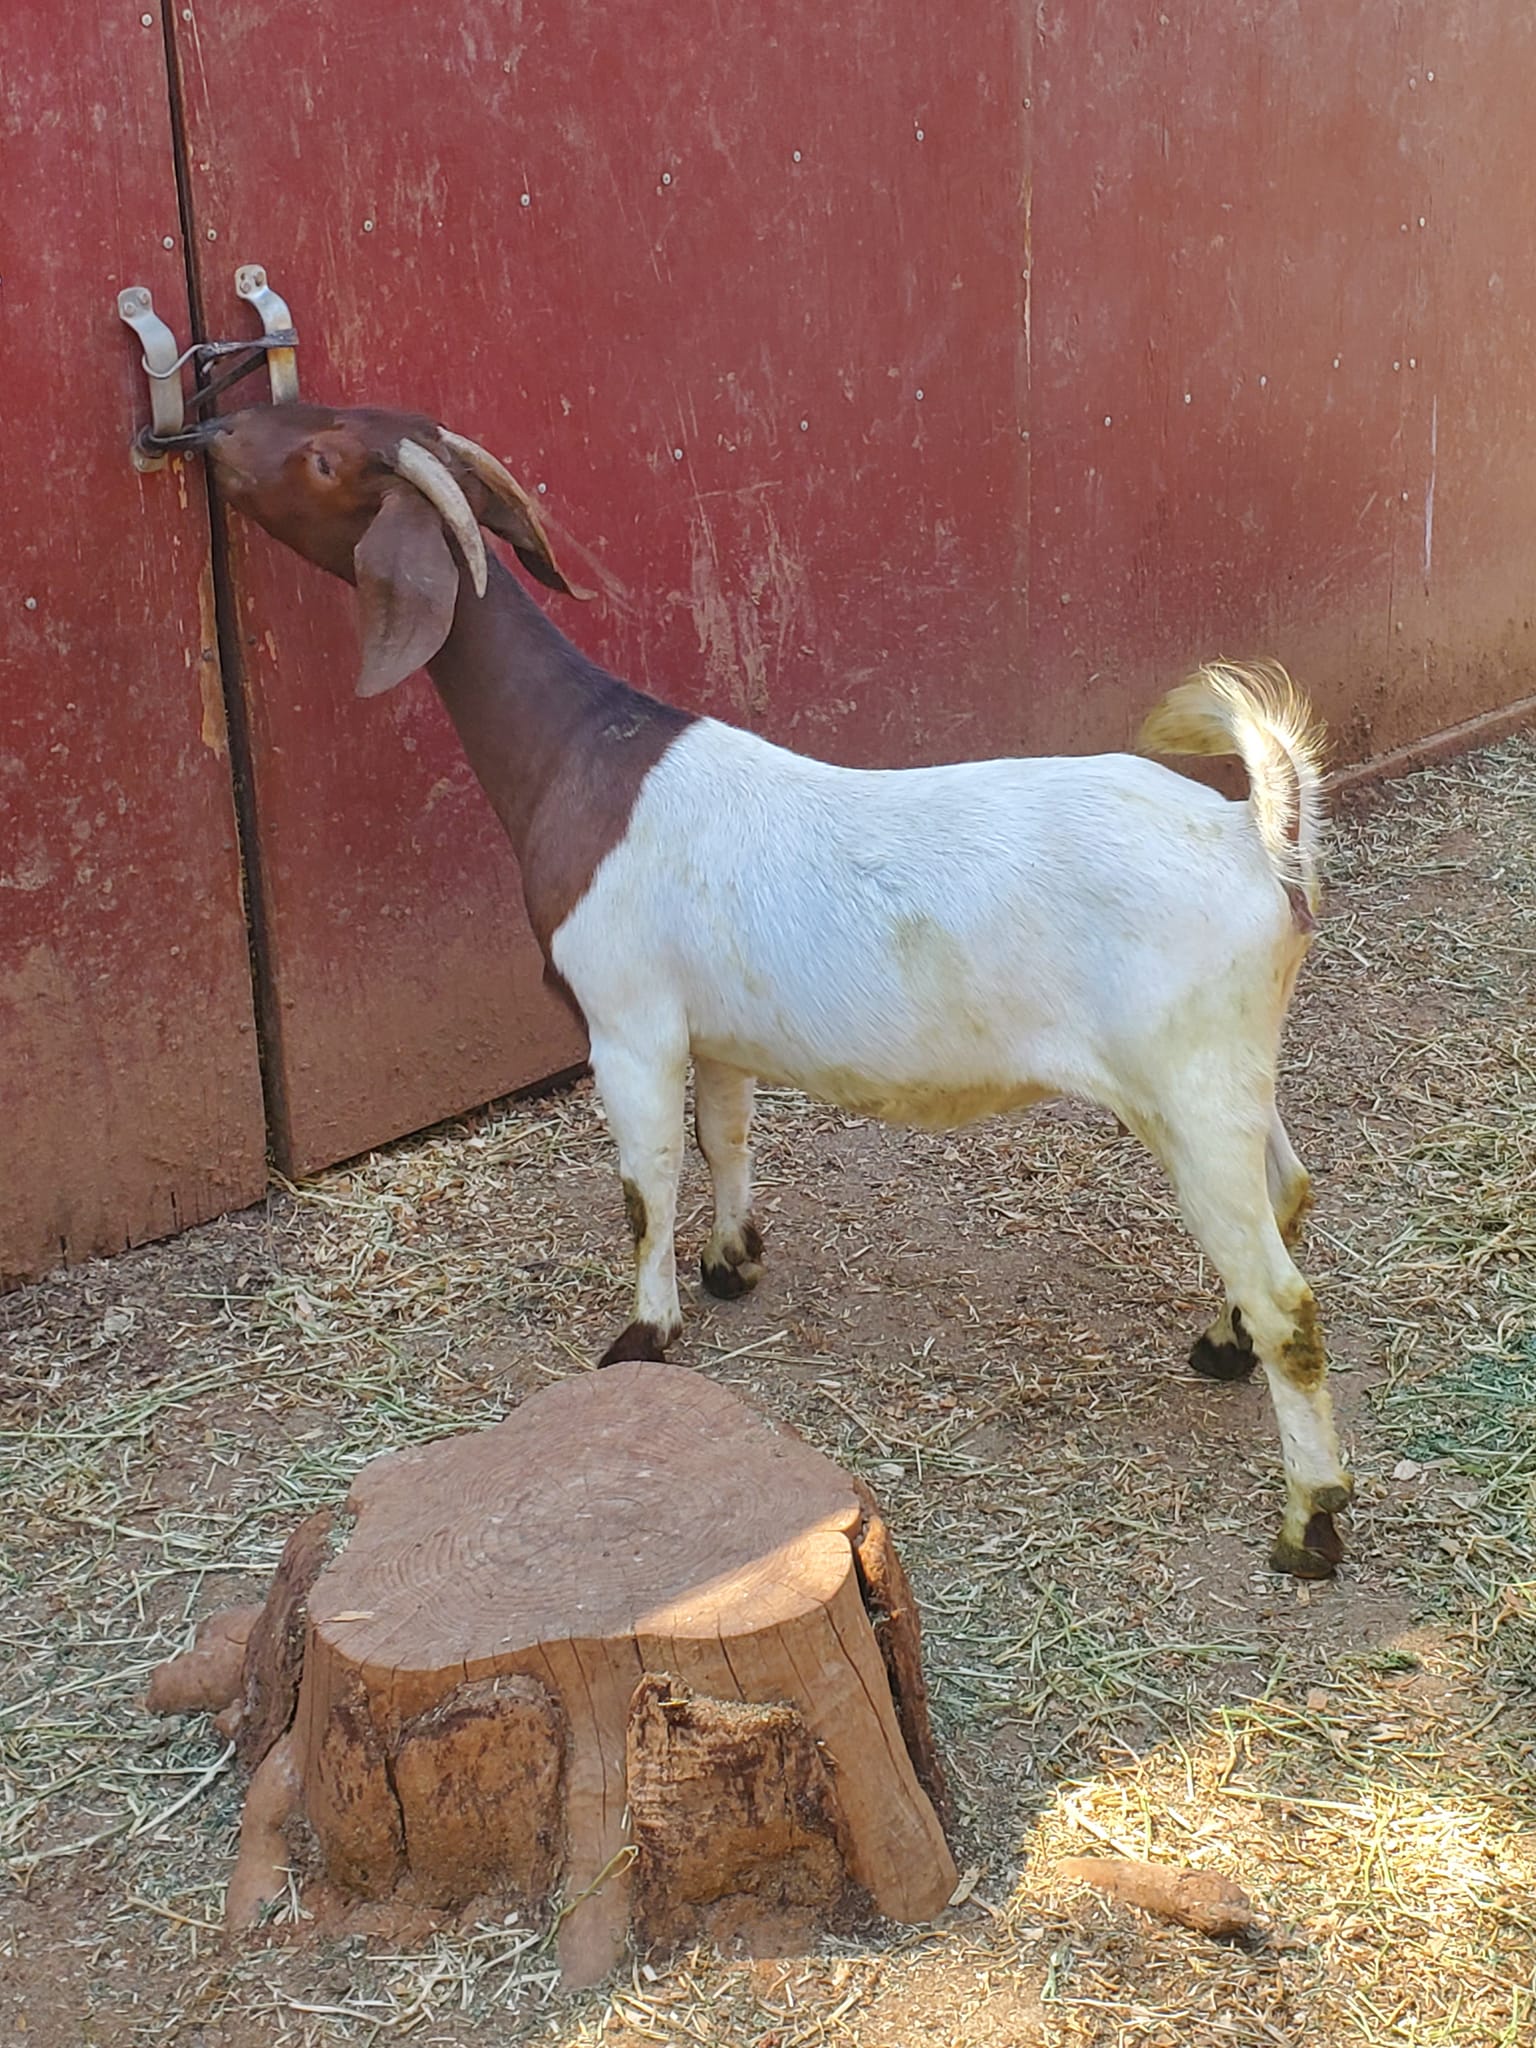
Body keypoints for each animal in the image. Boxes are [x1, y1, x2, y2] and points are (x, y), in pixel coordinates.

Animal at [190, 402, 1352, 1578]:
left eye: (323, 458)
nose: (212, 429)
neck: (583, 759)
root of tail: (1257, 838)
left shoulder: (627, 1021)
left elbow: (645, 1180)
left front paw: (643, 1334)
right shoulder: (714, 1030)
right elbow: (724, 1137)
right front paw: (731, 1263)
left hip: (1186, 1079)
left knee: (1287, 1299)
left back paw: (1310, 1521)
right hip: (1224, 1070)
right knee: (1287, 1188)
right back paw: (1219, 1346)